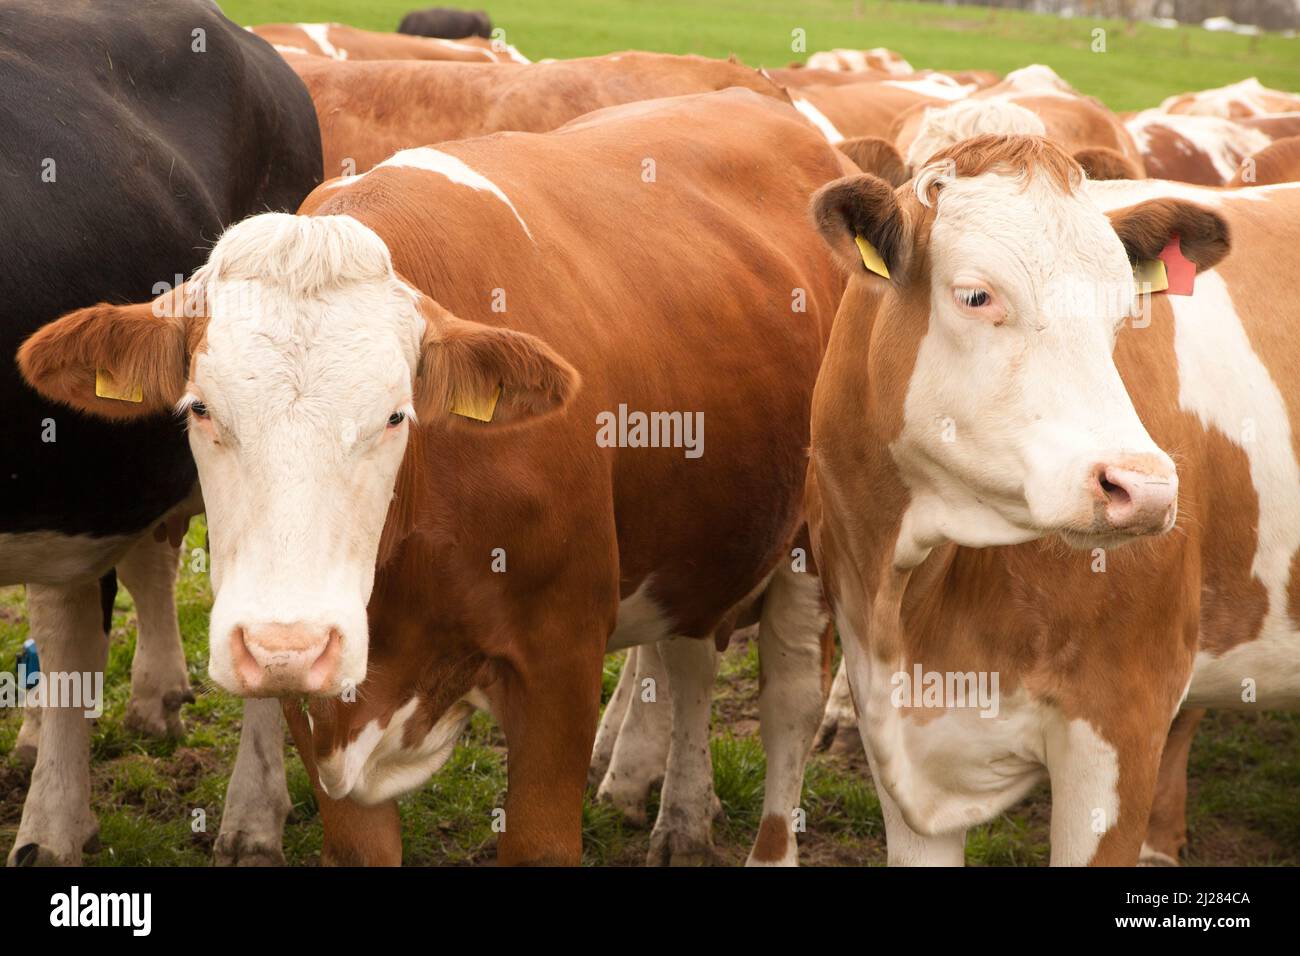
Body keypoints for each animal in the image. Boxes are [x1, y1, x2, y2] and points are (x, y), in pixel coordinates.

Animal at [19, 89, 849, 866]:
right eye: (199, 408)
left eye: (395, 415)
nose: (286, 645)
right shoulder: (329, 709)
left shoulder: (561, 665)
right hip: (700, 540)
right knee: (689, 661)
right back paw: (682, 819)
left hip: (809, 547)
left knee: (789, 707)